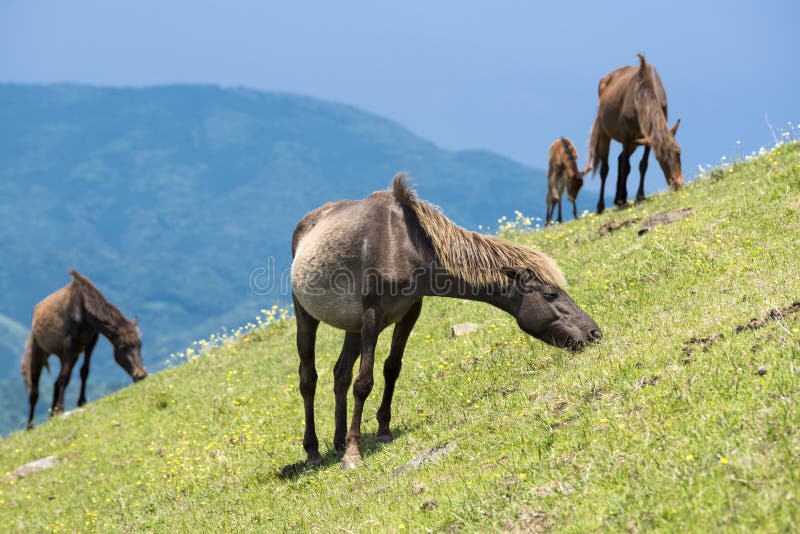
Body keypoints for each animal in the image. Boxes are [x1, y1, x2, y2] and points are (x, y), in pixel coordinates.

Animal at [20, 270, 147, 429]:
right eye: (123, 347)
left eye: (139, 345)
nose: (141, 375)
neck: (82, 310)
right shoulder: (69, 346)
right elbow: (66, 377)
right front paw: (61, 409)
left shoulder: (90, 343)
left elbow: (84, 372)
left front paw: (81, 402)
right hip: (40, 353)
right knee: (35, 390)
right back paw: (30, 426)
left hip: (69, 355)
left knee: (56, 382)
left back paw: (51, 415)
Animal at [289, 174, 601, 469]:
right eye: (550, 294)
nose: (594, 332)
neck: (402, 245)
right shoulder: (372, 318)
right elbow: (364, 382)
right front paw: (353, 453)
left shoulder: (410, 311)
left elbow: (392, 368)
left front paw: (383, 430)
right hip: (307, 317)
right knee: (308, 379)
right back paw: (314, 452)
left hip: (352, 327)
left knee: (340, 373)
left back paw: (339, 441)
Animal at [587, 53, 683, 214]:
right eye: (661, 158)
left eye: (679, 152)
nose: (678, 183)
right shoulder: (626, 136)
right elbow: (626, 167)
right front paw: (624, 199)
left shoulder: (647, 138)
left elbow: (643, 165)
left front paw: (640, 196)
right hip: (605, 132)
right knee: (605, 168)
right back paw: (602, 205)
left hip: (635, 142)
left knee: (620, 158)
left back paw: (618, 199)